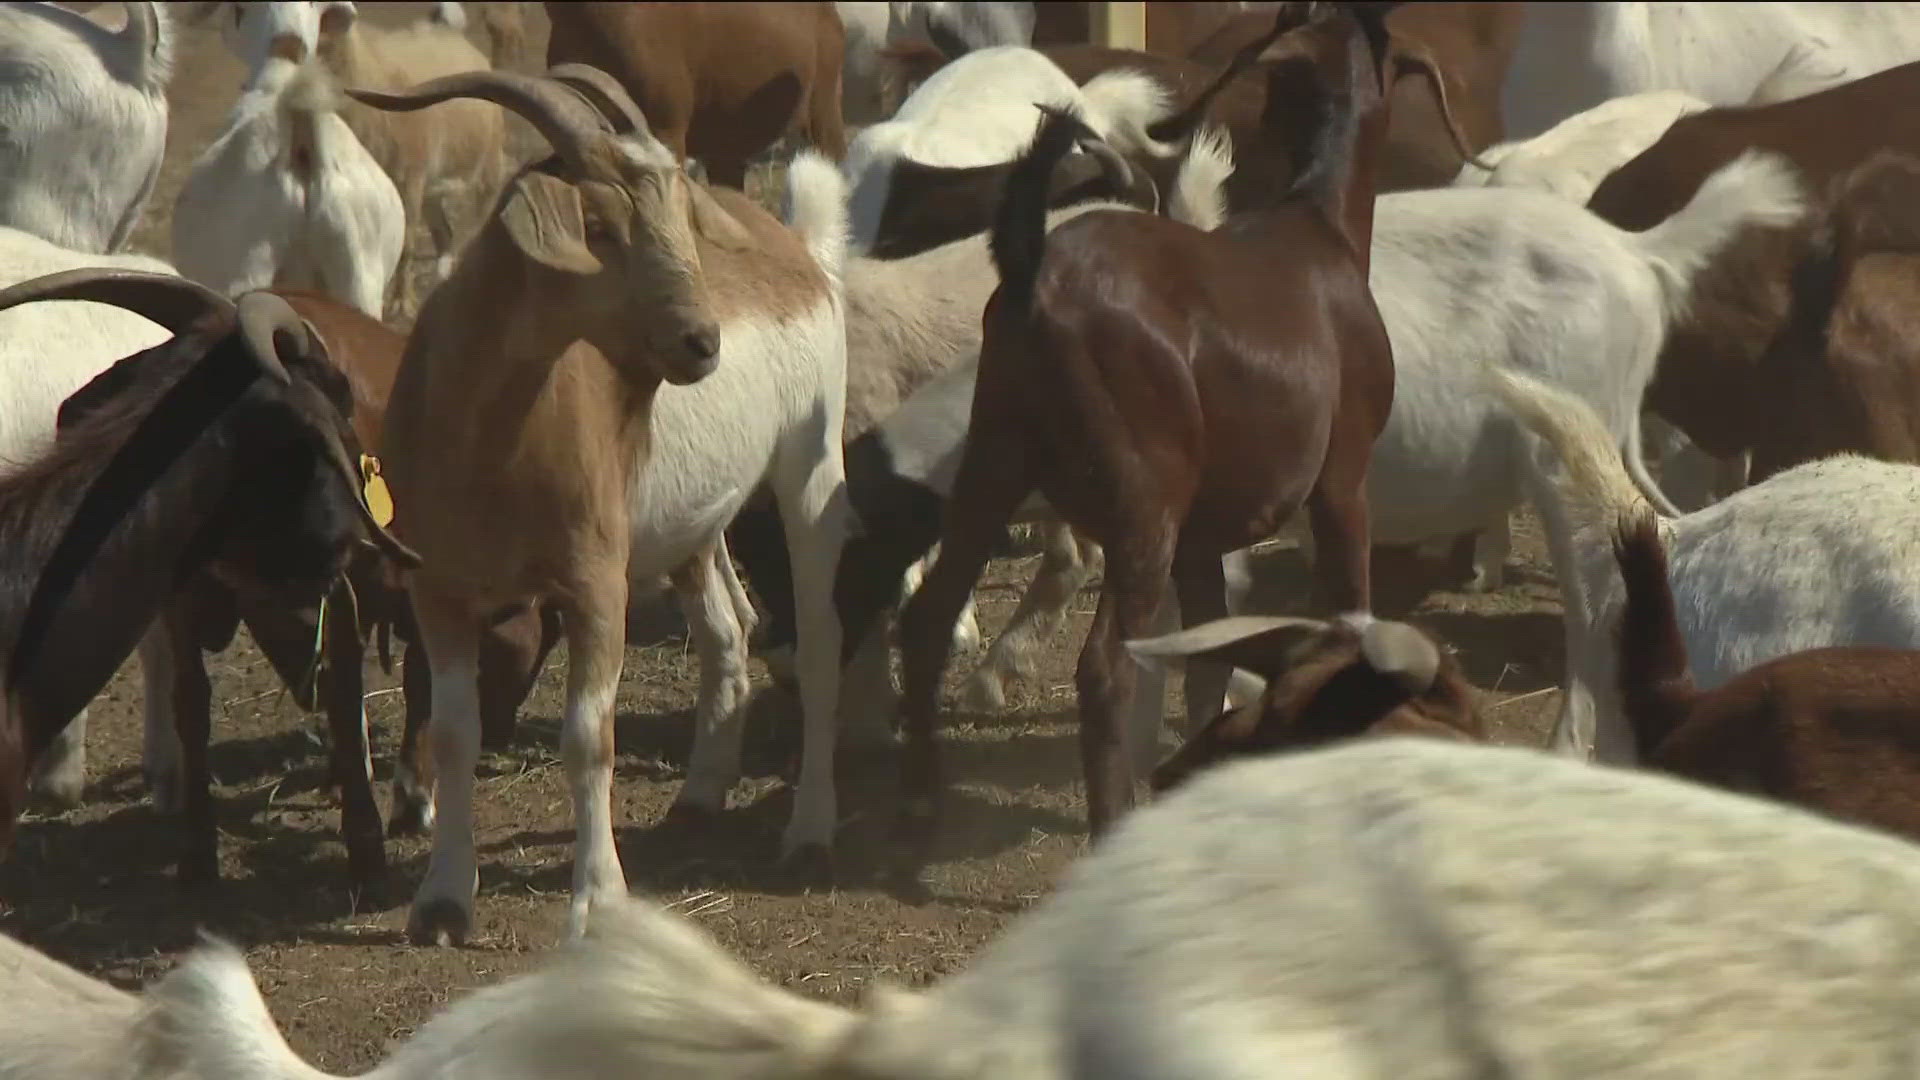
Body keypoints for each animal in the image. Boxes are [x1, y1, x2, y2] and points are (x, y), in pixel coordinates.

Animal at [343, 65, 850, 946]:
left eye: (678, 211)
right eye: (602, 228)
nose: (702, 341)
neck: (489, 446)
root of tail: (797, 249)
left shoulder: (594, 583)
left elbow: (589, 738)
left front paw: (598, 903)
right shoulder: (439, 590)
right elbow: (453, 732)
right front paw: (441, 900)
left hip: (810, 463)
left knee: (817, 640)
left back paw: (811, 834)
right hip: (693, 523)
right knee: (728, 628)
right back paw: (699, 794)